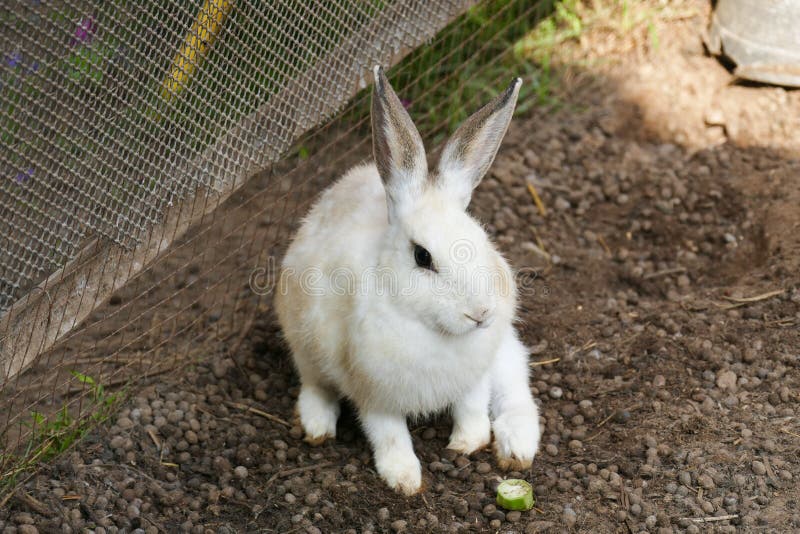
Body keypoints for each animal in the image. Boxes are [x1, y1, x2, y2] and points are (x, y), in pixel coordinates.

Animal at [274, 65, 541, 495]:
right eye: (422, 257)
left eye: (481, 238)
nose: (481, 314)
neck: (432, 331)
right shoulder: (374, 392)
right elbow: (389, 433)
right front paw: (404, 478)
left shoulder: (474, 377)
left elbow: (472, 409)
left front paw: (467, 444)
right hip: (305, 347)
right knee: (316, 385)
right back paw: (317, 426)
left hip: (504, 351)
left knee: (515, 383)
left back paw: (516, 446)